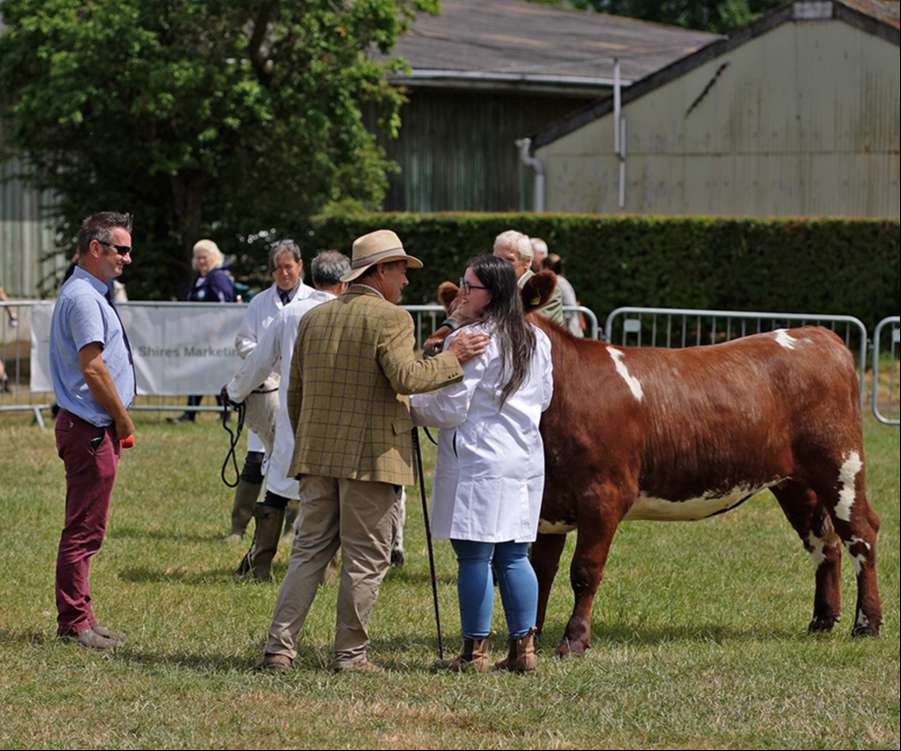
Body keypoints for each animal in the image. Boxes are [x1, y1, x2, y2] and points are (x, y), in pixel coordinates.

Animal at [426, 277, 882, 658]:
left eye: (487, 312)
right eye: (451, 306)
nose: (437, 343)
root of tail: (817, 334)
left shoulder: (604, 496)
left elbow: (584, 571)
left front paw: (574, 641)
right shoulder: (546, 504)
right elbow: (540, 572)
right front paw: (530, 638)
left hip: (841, 465)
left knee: (861, 533)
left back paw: (867, 624)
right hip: (793, 481)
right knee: (823, 541)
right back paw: (822, 620)